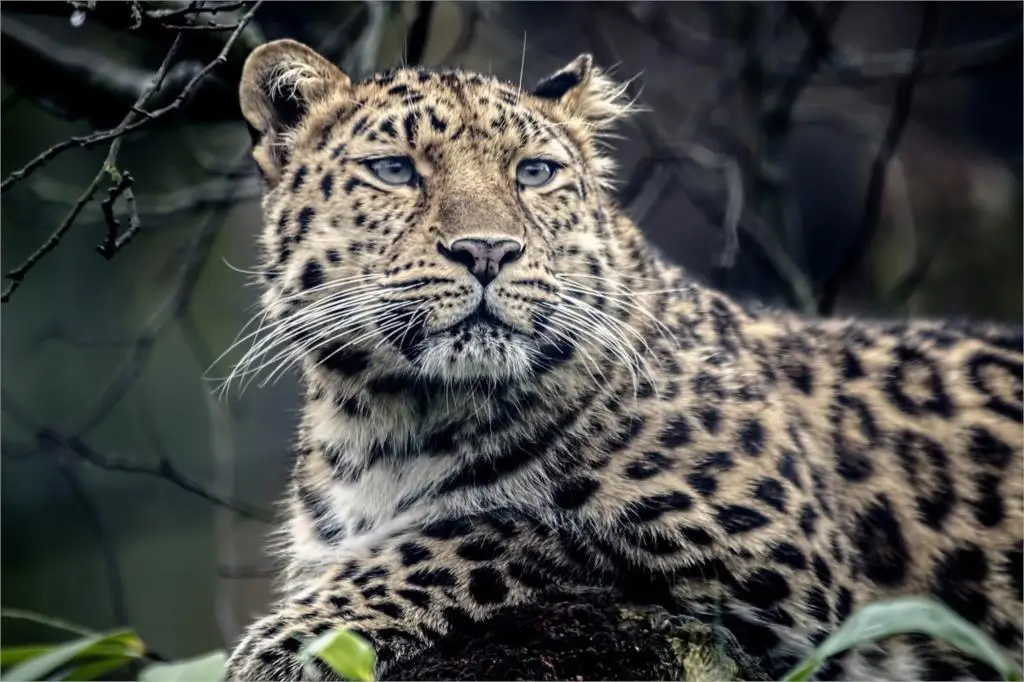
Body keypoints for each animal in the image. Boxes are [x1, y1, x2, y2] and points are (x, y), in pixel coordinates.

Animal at [224, 37, 1024, 681]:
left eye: (534, 173)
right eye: (394, 169)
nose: (487, 250)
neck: (393, 417)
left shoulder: (778, 555)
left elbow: (494, 528)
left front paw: (286, 643)